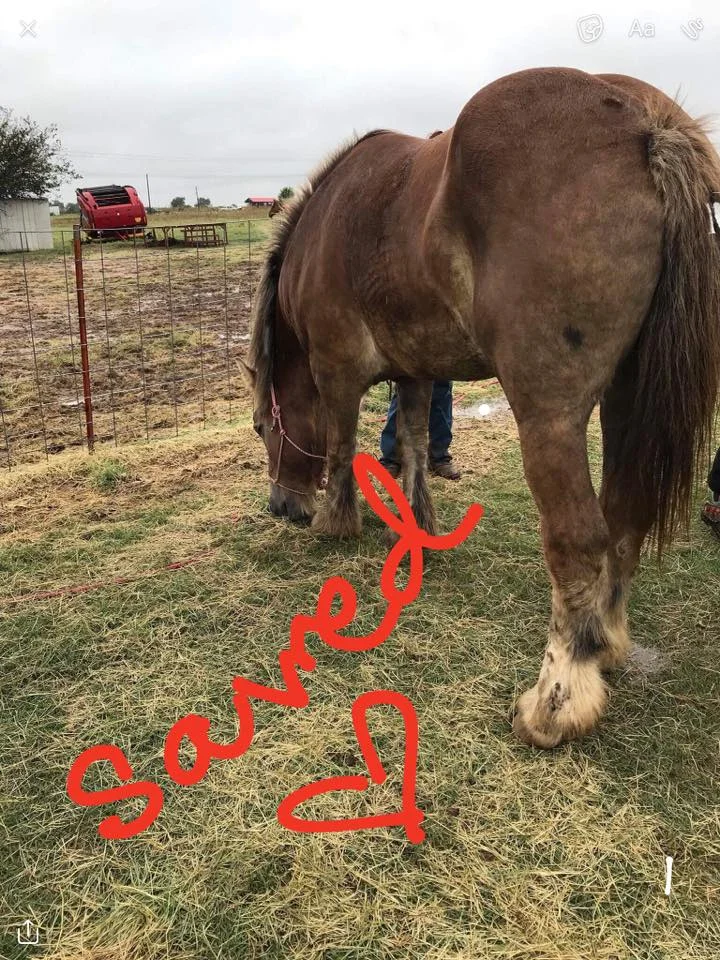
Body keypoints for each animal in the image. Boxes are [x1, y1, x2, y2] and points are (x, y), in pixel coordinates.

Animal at [244, 68, 720, 748]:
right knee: (625, 520)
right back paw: (603, 644)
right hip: (626, 396)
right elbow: (414, 444)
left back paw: (555, 702)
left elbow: (341, 449)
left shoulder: (336, 373)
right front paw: (418, 524)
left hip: (549, 416)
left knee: (580, 540)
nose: (281, 507)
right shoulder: (416, 372)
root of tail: (644, 123)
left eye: (263, 426)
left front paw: (335, 523)